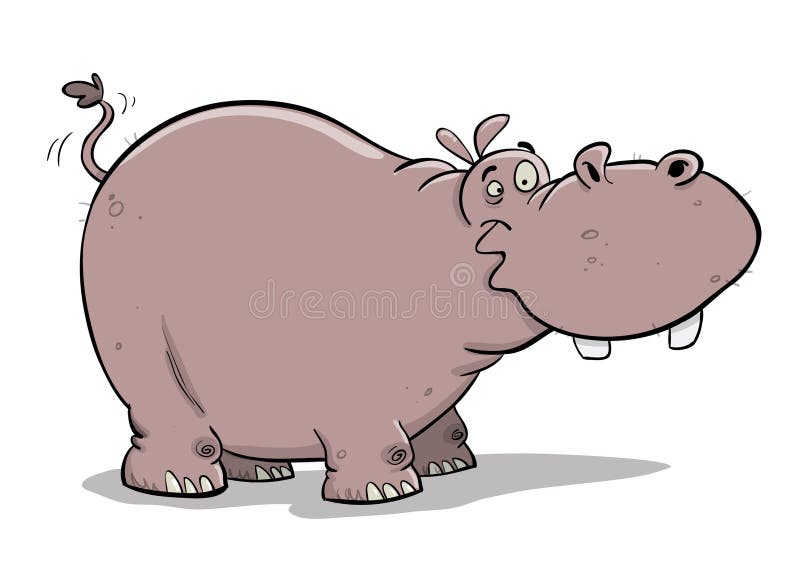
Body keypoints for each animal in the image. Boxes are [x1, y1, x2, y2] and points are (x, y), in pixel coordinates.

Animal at [63, 74, 759, 503]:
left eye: (531, 166)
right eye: (504, 182)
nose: (682, 168)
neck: (452, 238)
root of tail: (113, 165)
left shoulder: (431, 381)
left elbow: (438, 420)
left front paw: (450, 465)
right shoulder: (348, 377)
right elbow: (371, 435)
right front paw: (383, 493)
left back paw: (260, 473)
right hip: (135, 333)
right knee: (164, 407)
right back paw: (184, 486)